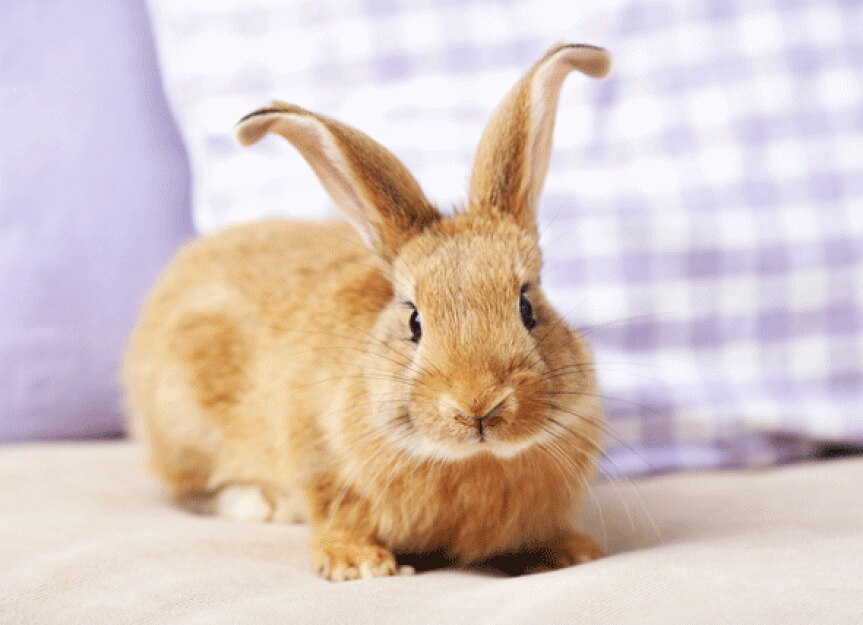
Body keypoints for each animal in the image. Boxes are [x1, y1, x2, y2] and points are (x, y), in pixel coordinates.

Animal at [123, 43, 612, 581]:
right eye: (414, 321)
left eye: (527, 306)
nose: (478, 406)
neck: (468, 459)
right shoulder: (322, 464)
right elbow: (336, 517)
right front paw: (358, 565)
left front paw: (568, 552)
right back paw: (264, 505)